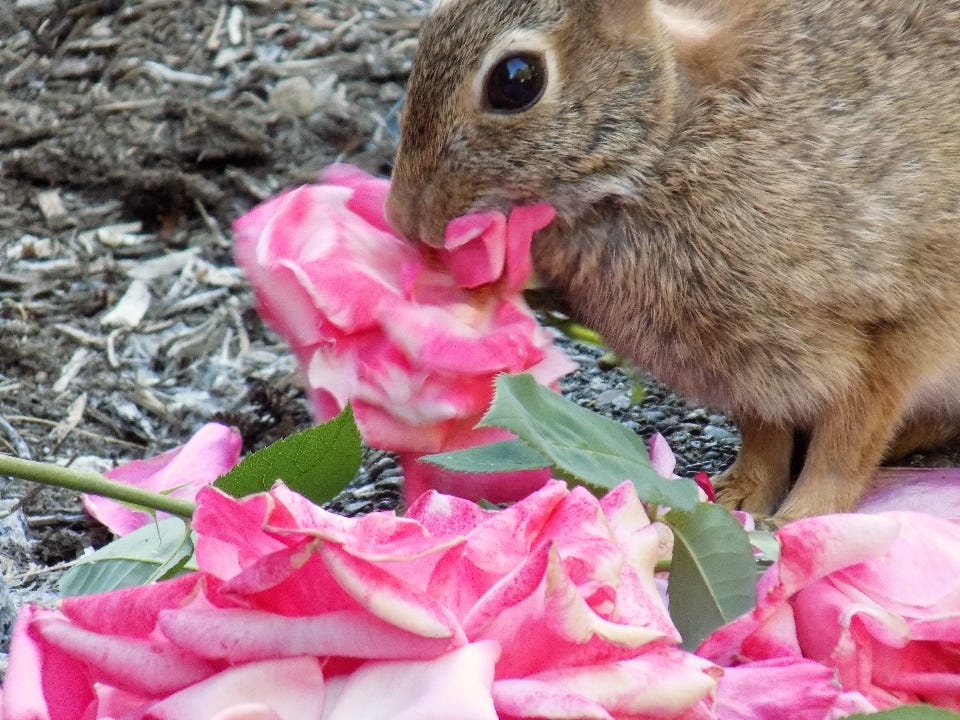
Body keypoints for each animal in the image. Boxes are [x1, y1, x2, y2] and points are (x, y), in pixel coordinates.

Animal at [384, 0, 960, 521]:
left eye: (516, 80)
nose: (404, 218)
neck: (662, 148)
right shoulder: (750, 370)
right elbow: (764, 436)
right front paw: (736, 498)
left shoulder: (897, 325)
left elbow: (847, 443)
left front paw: (798, 519)